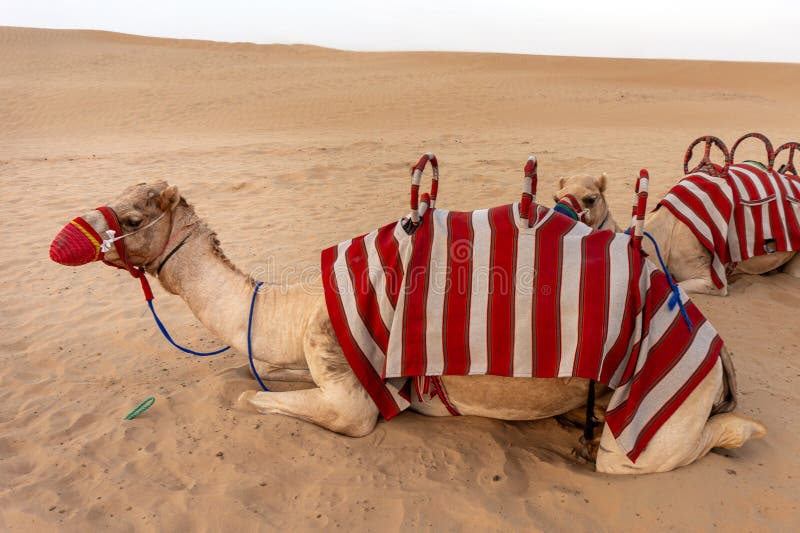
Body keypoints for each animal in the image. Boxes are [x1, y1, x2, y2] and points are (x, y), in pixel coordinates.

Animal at [49, 181, 766, 474]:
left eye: (134, 217)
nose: (65, 239)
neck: (296, 305)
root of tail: (717, 346)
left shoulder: (346, 385)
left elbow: (257, 395)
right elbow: (253, 370)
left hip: (662, 401)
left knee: (673, 445)